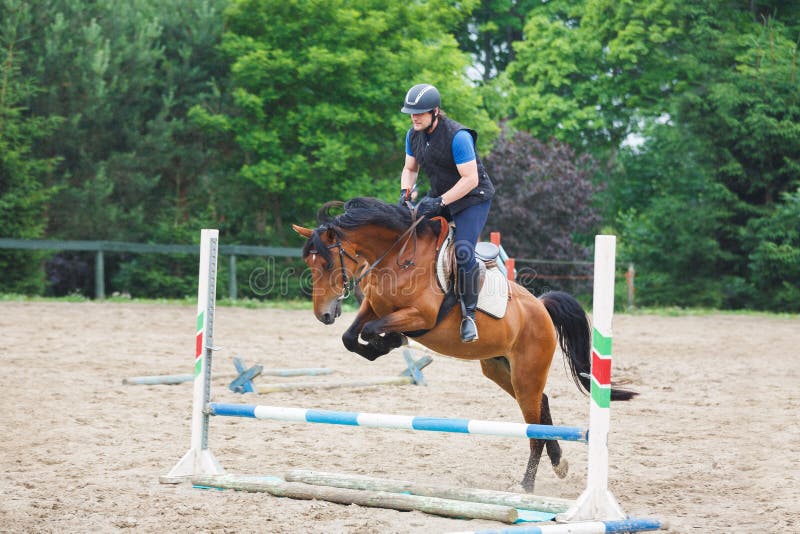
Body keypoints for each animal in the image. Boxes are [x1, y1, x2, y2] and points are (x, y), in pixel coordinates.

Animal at [292, 197, 636, 493]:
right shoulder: (373, 307)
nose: (324, 314)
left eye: (326, 264)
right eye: (310, 264)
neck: (397, 257)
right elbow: (351, 337)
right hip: (500, 369)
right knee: (543, 406)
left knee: (533, 426)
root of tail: (540, 306)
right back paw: (559, 463)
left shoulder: (419, 315)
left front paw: (390, 341)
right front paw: (379, 346)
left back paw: (526, 485)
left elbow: (374, 329)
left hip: (526, 372)